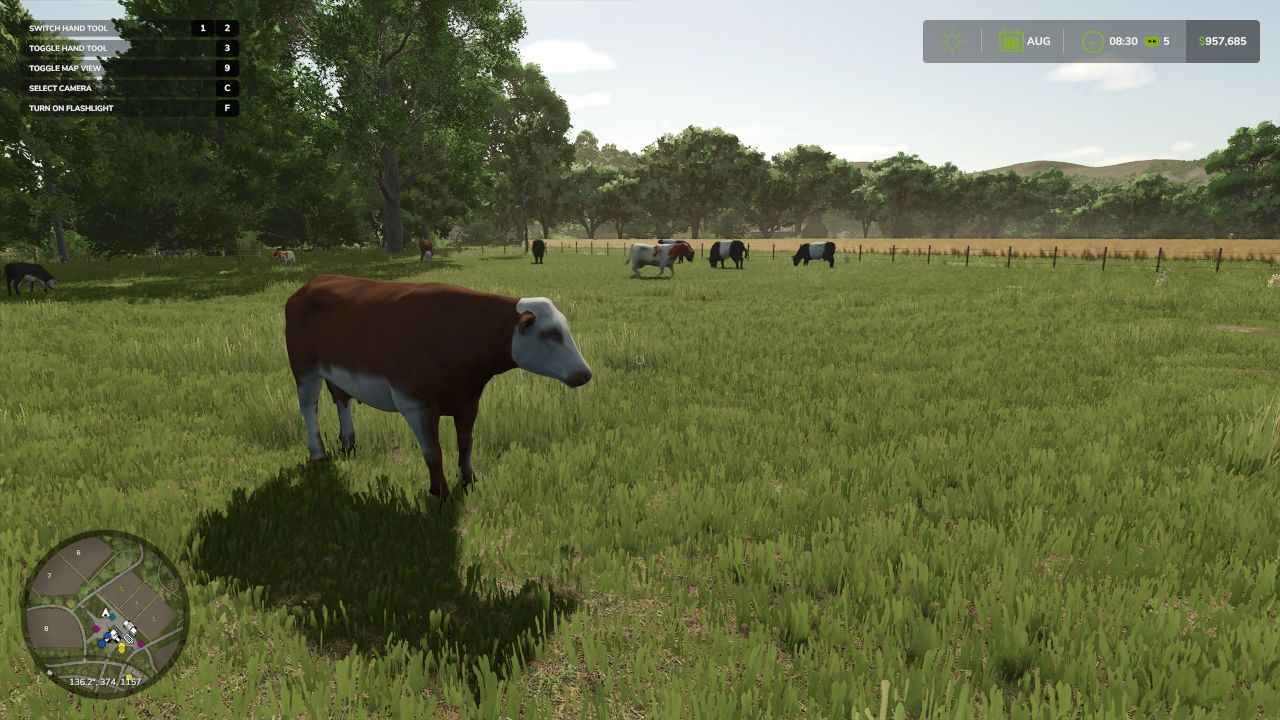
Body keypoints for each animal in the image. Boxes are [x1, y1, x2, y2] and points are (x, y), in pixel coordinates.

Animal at [284, 275, 592, 500]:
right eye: (552, 334)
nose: (585, 374)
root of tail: (312, 282)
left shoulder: (468, 401)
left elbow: (465, 443)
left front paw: (469, 480)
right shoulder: (415, 403)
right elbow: (433, 452)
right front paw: (440, 493)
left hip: (333, 371)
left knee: (342, 398)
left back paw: (348, 443)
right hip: (305, 369)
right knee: (308, 407)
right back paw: (318, 453)